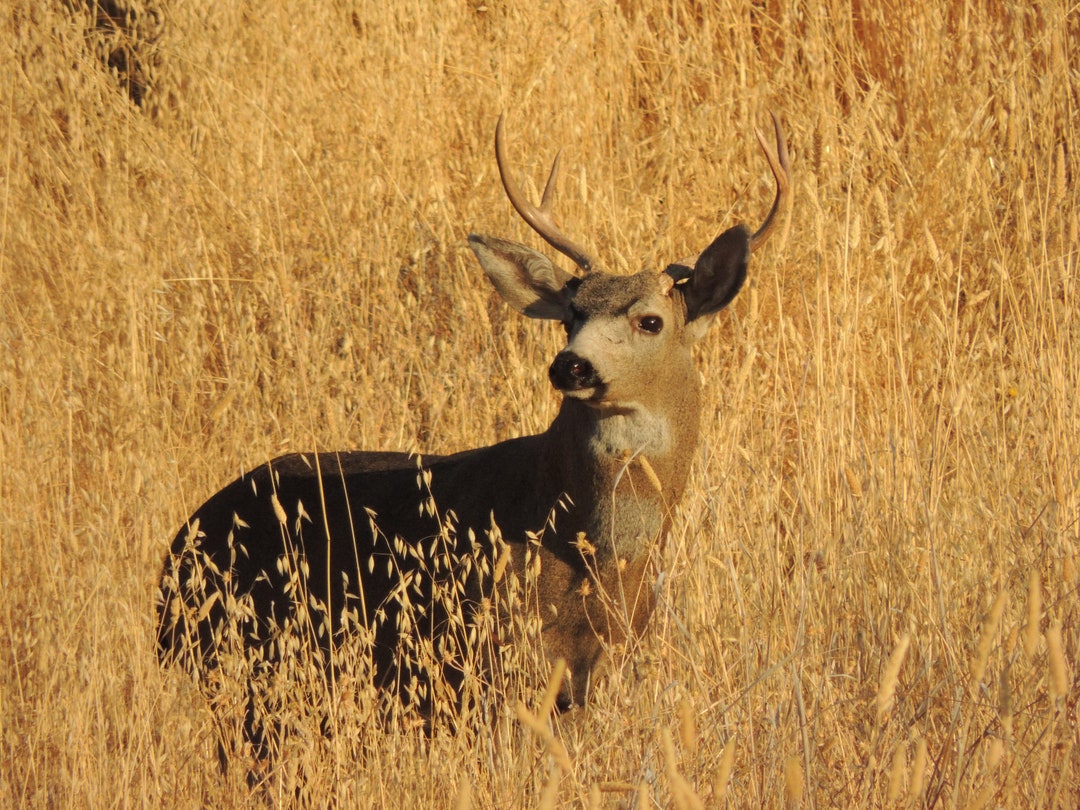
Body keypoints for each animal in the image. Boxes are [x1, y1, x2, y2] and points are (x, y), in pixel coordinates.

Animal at [156, 113, 789, 763]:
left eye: (650, 321)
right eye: (571, 315)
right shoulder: (488, 652)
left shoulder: (597, 666)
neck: (590, 551)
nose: (571, 365)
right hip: (241, 659)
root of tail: (177, 547)